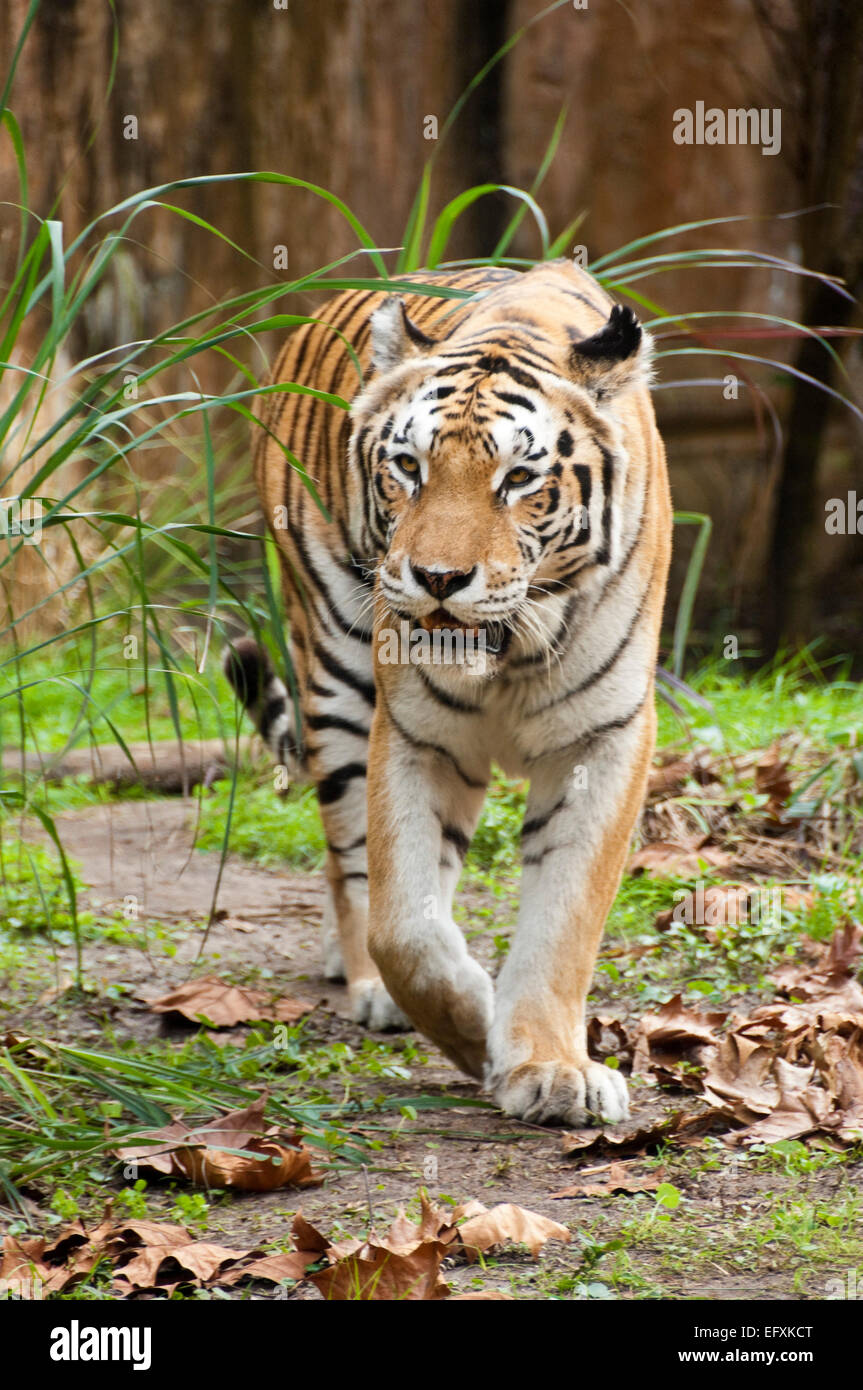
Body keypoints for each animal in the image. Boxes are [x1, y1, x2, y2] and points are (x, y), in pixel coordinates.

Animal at [224, 256, 672, 1125]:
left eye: (519, 478)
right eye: (409, 467)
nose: (436, 578)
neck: (514, 652)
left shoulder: (602, 738)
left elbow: (562, 920)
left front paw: (550, 1068)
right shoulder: (413, 733)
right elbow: (404, 924)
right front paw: (473, 1023)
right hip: (333, 670)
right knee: (352, 863)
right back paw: (365, 979)